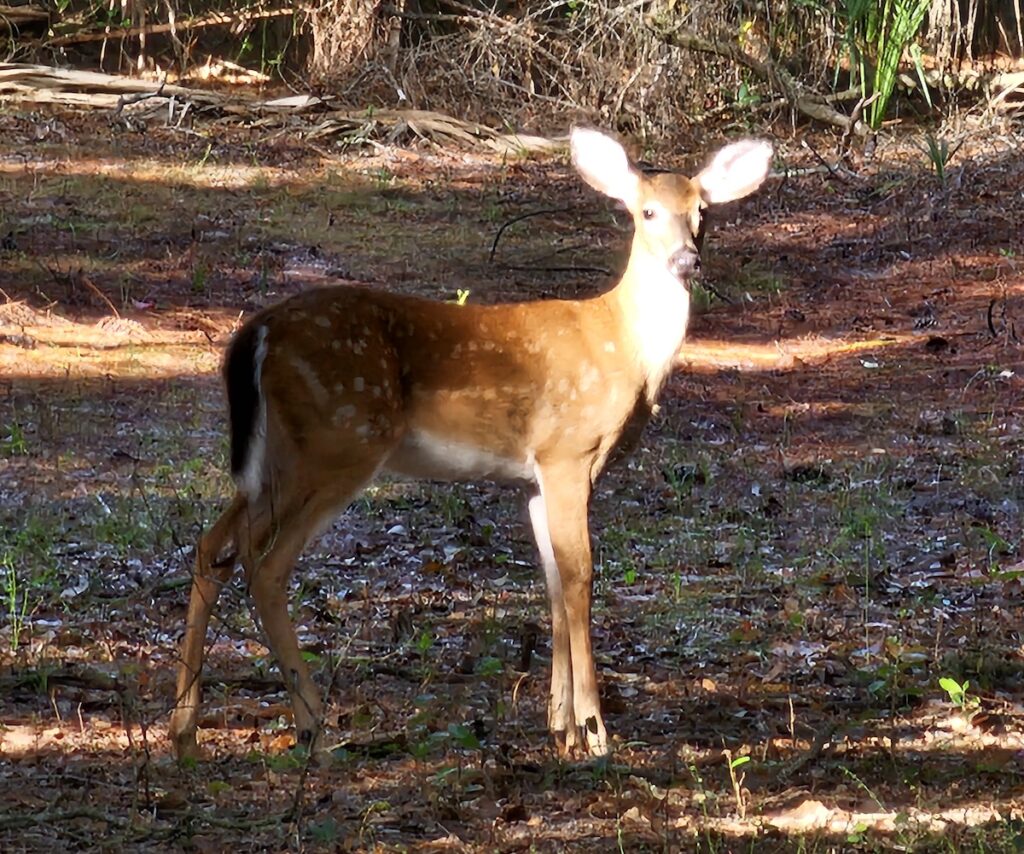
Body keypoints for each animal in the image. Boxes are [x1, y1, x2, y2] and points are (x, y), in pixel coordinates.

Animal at [169, 128, 772, 761]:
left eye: (702, 212)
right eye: (647, 211)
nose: (687, 259)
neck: (625, 347)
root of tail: (255, 334)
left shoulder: (535, 479)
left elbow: (552, 585)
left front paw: (558, 726)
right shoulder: (567, 453)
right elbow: (580, 579)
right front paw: (593, 730)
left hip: (279, 454)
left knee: (213, 546)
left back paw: (185, 729)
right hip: (339, 440)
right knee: (265, 566)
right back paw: (313, 723)